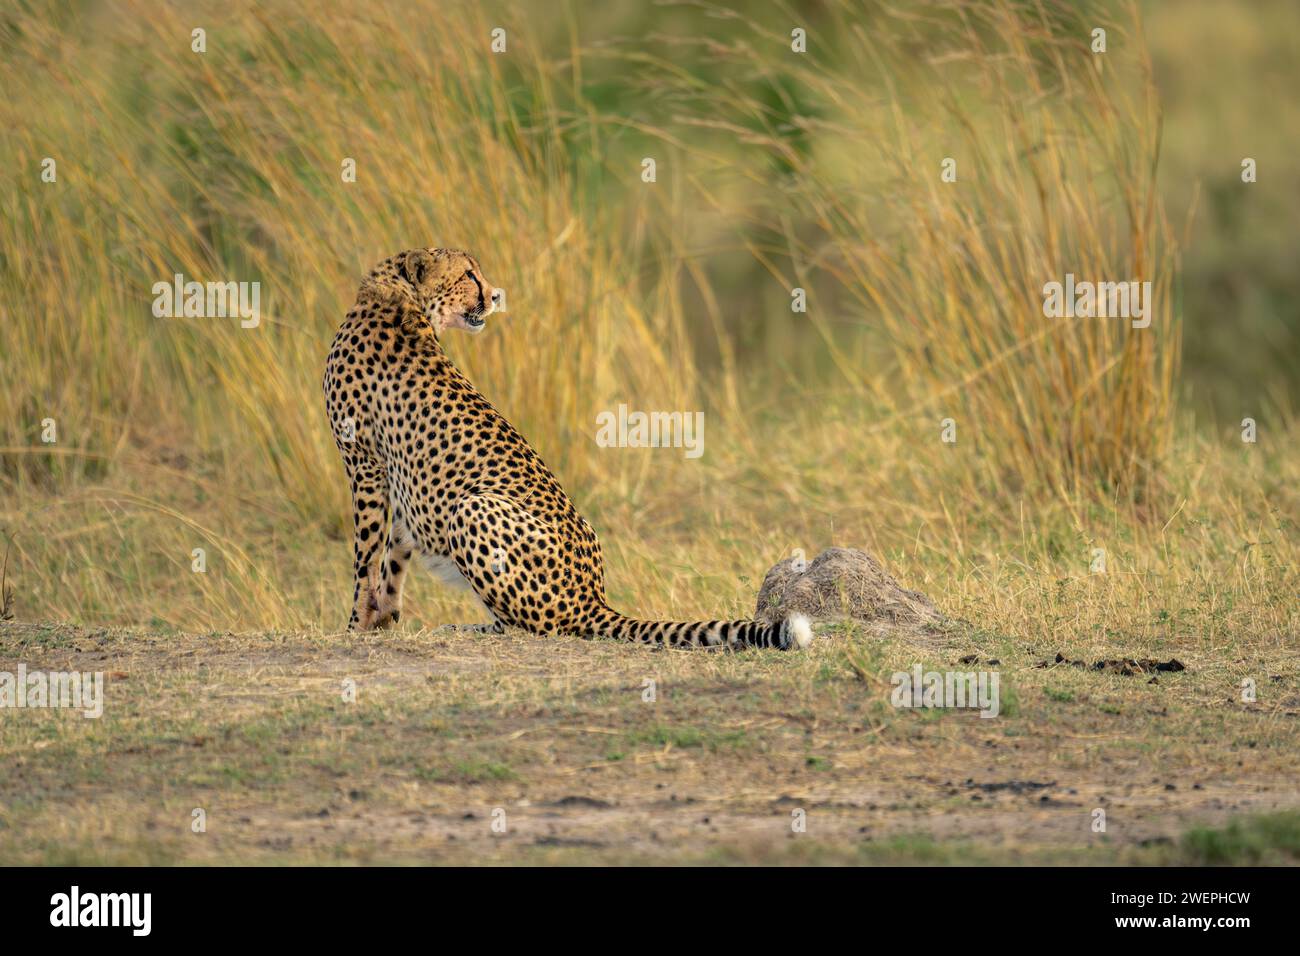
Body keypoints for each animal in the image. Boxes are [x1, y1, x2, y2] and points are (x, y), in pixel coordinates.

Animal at [322, 248, 812, 650]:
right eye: (467, 274)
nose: (495, 295)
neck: (399, 298)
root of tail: (593, 596)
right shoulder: (390, 473)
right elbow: (393, 555)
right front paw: (383, 620)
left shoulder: (363, 463)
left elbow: (366, 557)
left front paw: (355, 627)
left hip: (473, 507)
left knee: (533, 627)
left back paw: (467, 628)